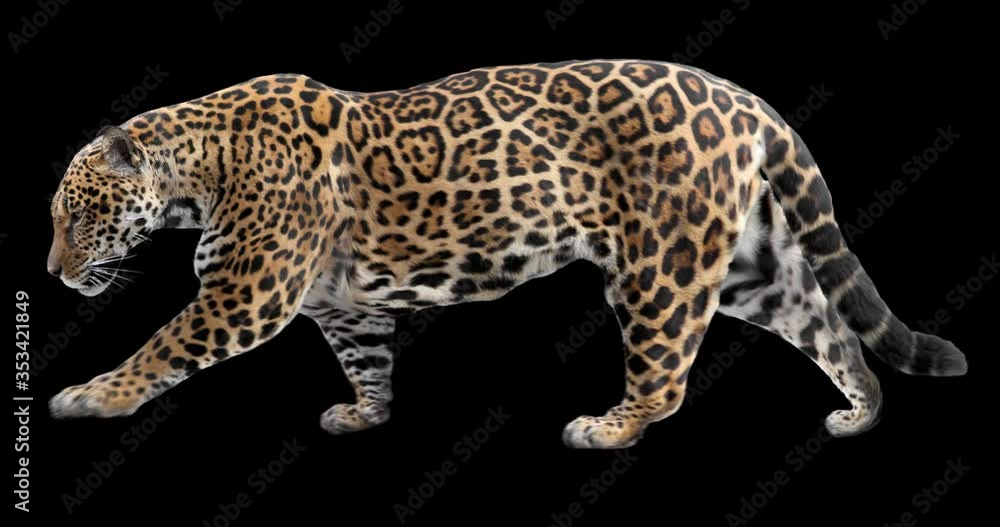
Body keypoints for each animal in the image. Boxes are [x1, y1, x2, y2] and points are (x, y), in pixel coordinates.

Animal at [47, 60, 967, 448]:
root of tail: (745, 100)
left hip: (659, 265)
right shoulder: (341, 302)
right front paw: (366, 413)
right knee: (826, 322)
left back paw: (609, 426)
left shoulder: (243, 292)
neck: (199, 163)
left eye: (77, 214)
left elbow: (160, 344)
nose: (52, 272)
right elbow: (367, 358)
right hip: (747, 261)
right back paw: (861, 410)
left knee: (665, 371)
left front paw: (93, 396)